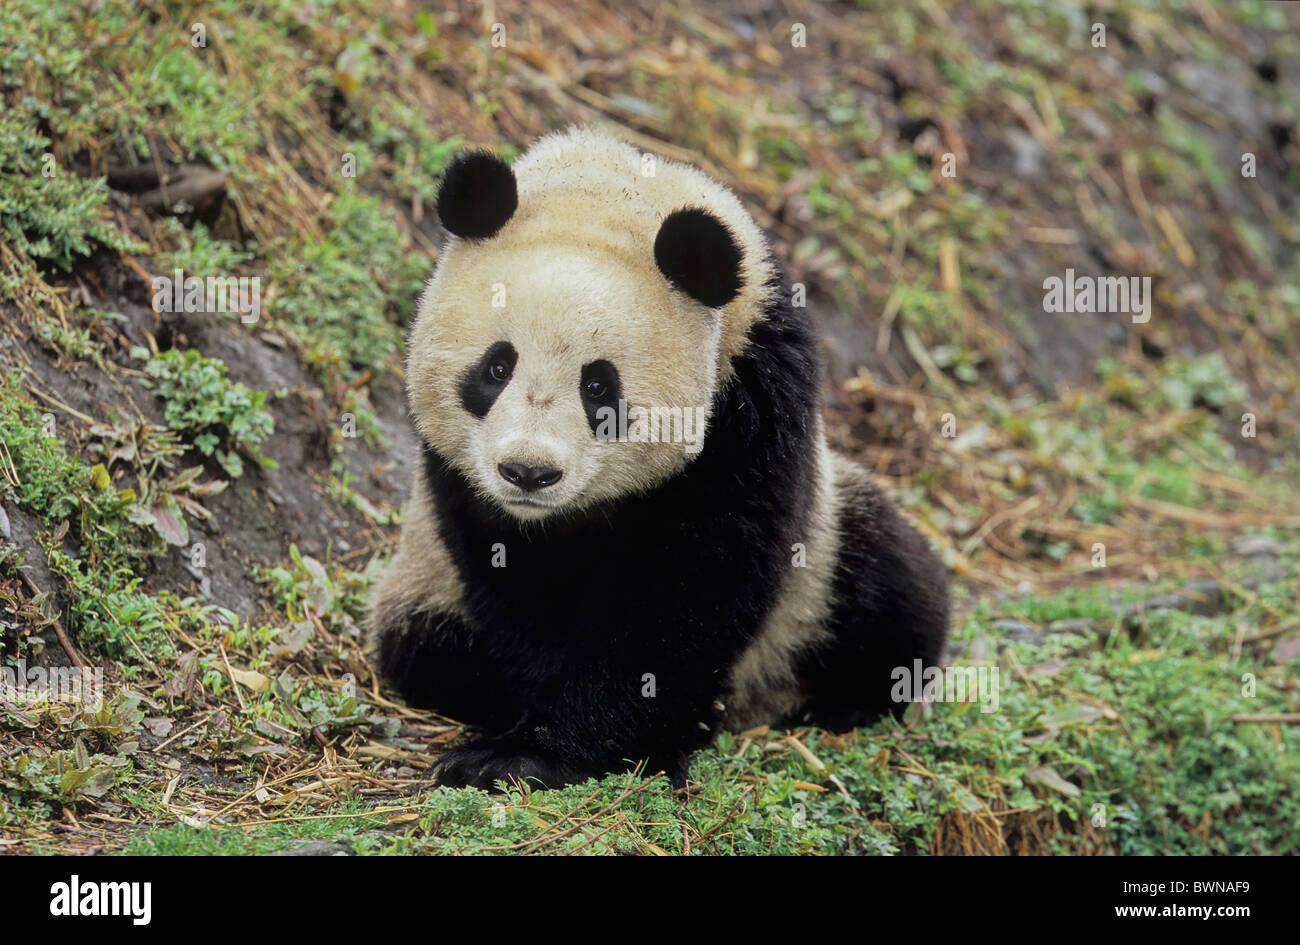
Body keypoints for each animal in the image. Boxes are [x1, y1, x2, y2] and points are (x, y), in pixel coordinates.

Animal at [367, 127, 950, 790]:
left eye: (599, 386)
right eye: (496, 367)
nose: (528, 473)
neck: (608, 192)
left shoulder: (752, 397)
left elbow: (689, 592)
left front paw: (546, 751)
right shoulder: (461, 481)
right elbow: (514, 587)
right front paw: (521, 742)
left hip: (822, 565)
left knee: (891, 592)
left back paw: (829, 704)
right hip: (421, 585)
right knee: (425, 651)